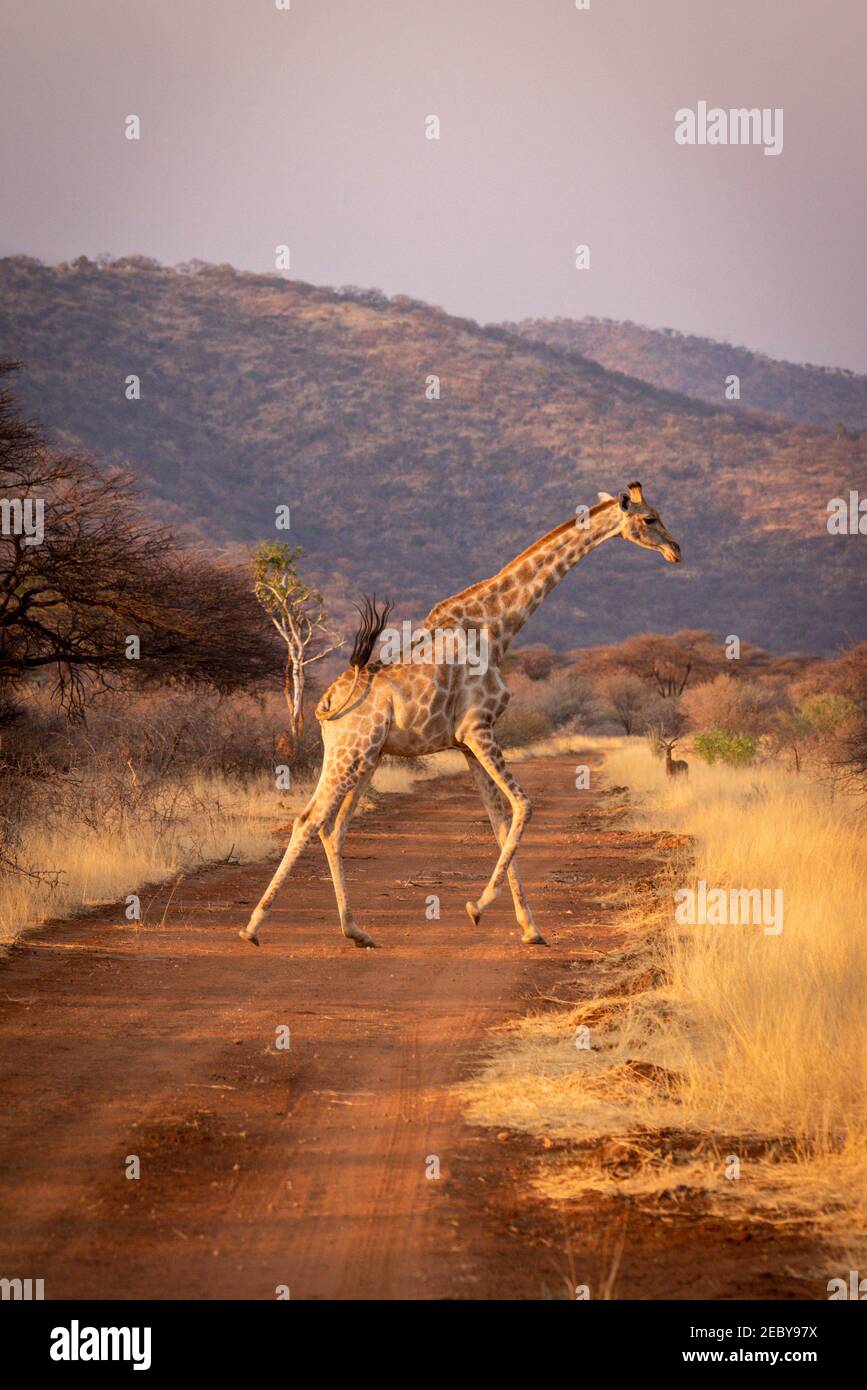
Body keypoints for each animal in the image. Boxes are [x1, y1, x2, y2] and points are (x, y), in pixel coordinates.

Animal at [239, 481, 681, 948]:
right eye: (650, 518)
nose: (676, 550)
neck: (496, 628)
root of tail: (325, 706)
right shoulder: (478, 729)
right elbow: (524, 806)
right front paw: (478, 908)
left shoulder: (469, 743)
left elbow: (500, 823)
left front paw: (530, 928)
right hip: (351, 752)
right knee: (309, 820)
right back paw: (253, 927)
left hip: (365, 757)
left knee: (332, 827)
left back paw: (356, 929)